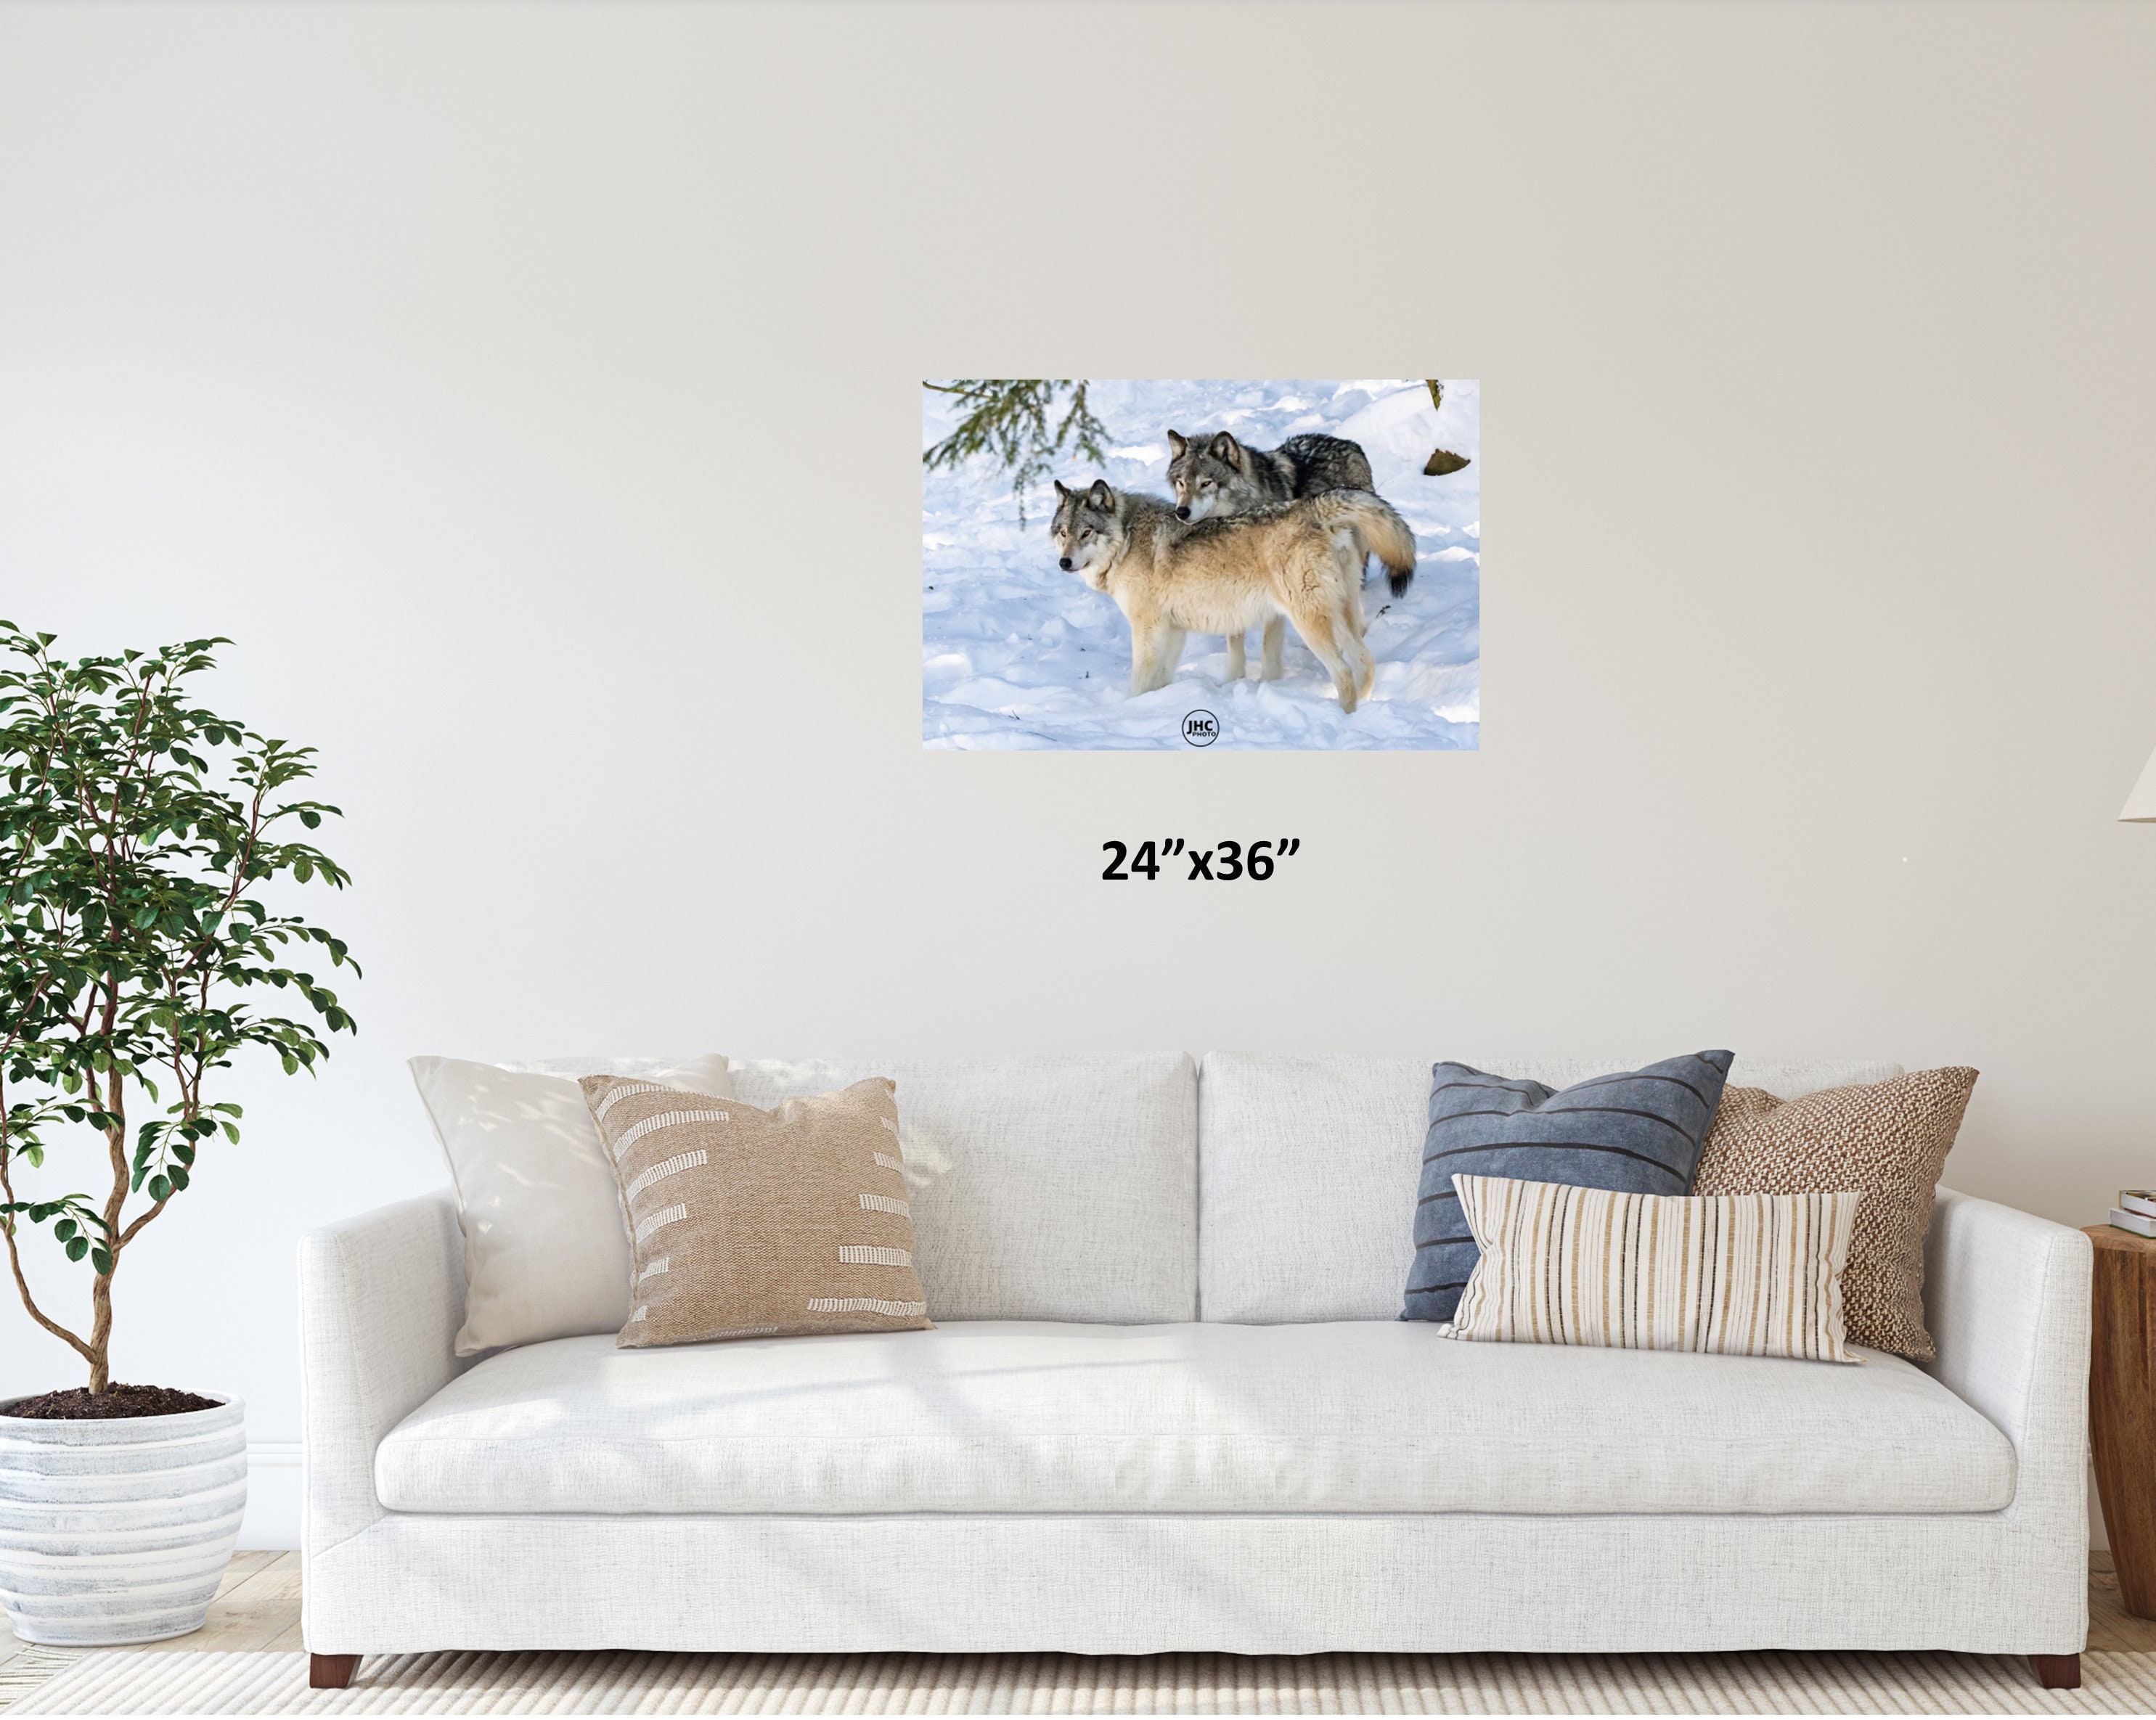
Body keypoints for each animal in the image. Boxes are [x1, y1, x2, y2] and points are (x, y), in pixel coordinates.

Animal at [1049, 478, 1415, 714]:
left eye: (1087, 532)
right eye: (1064, 533)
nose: (1064, 563)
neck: (1126, 538)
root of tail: (1311, 508)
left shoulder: (1147, 629)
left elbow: (1139, 682)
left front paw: (1128, 711)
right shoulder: (1174, 631)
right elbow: (1162, 679)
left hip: (1310, 623)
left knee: (1343, 673)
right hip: (1340, 614)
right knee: (1365, 662)